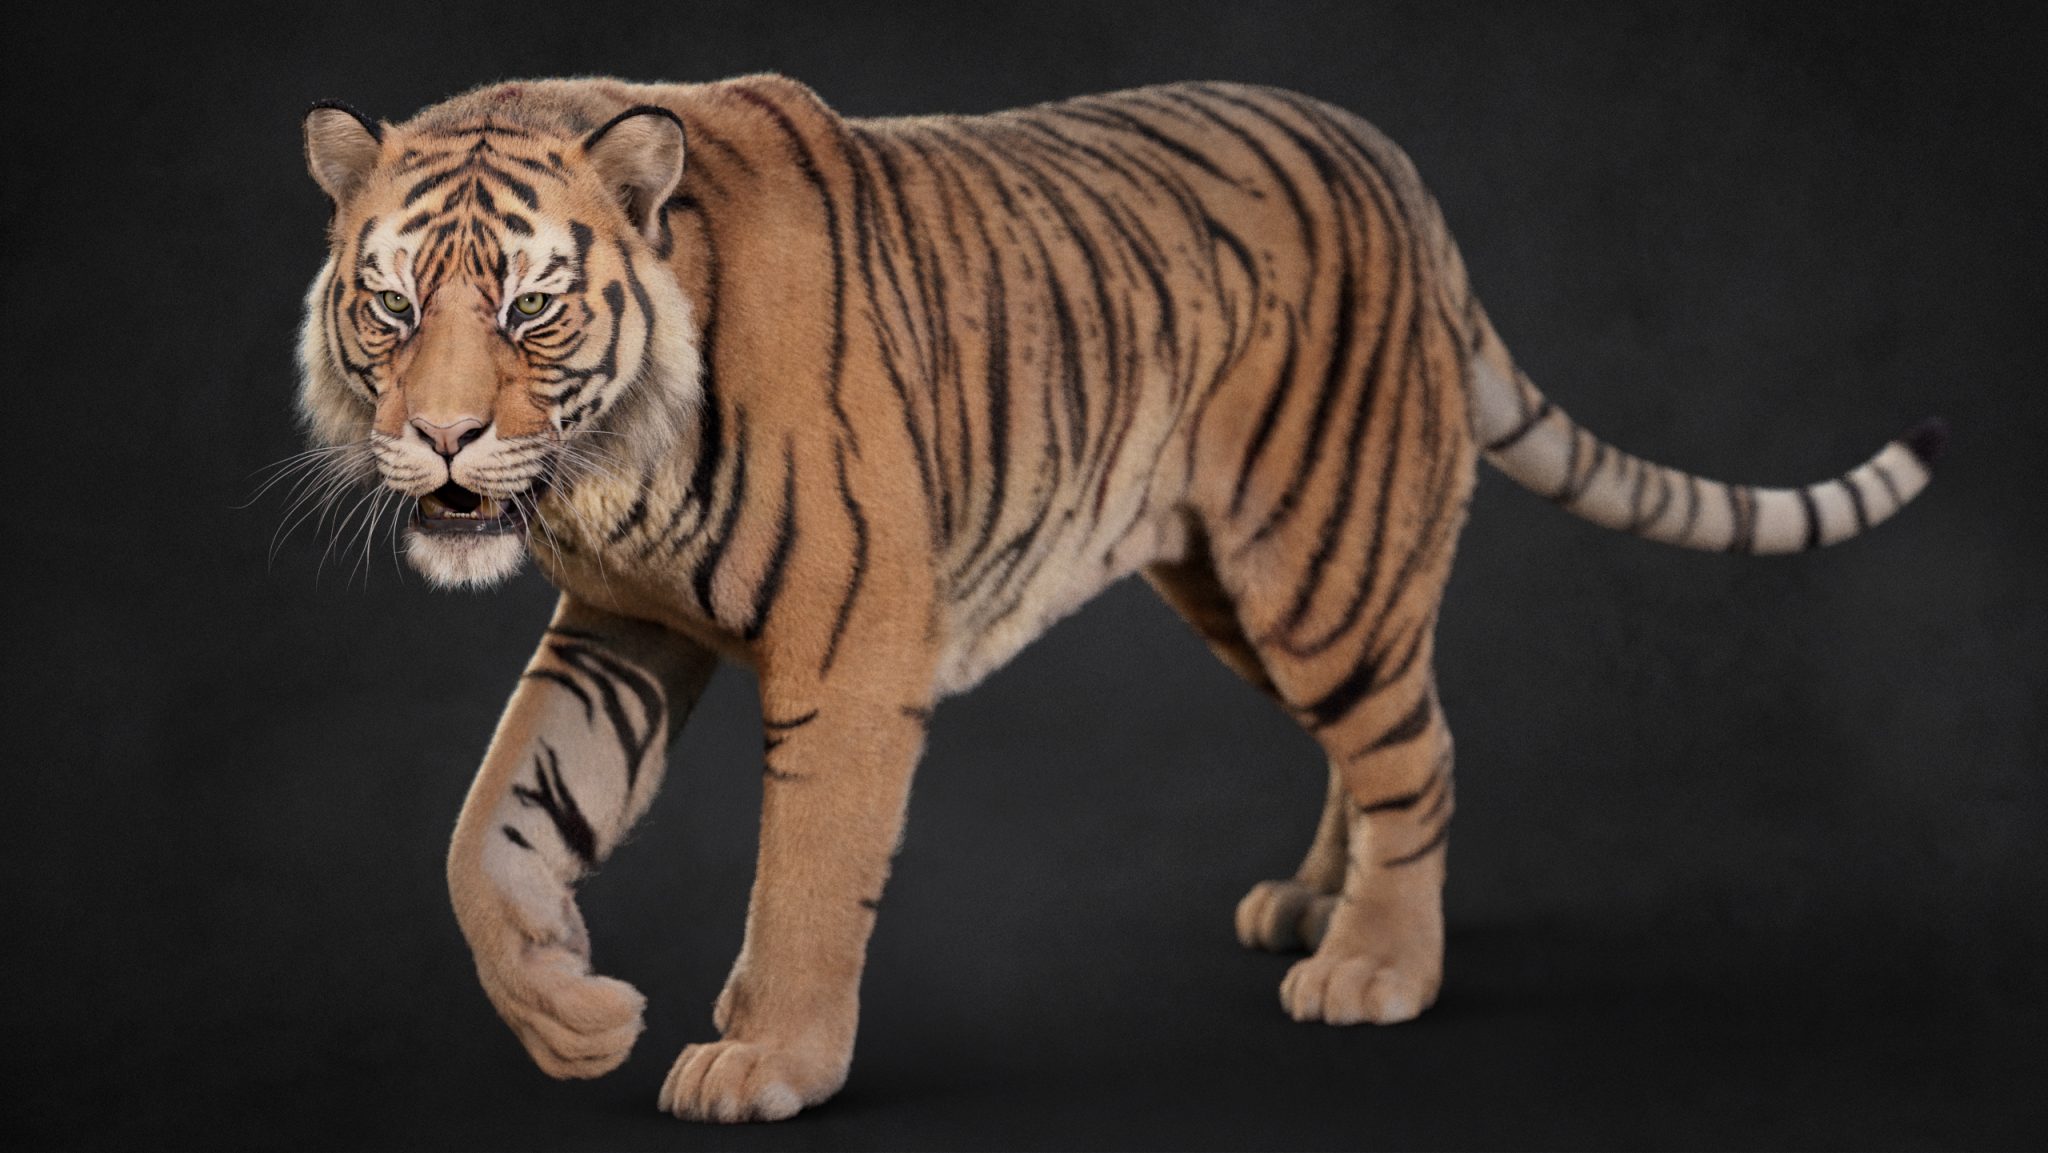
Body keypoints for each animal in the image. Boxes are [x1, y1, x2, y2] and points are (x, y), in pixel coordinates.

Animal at [295, 73, 1942, 1123]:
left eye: (530, 307)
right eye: (389, 306)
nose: (444, 438)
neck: (604, 475)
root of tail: (1398, 173)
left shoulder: (851, 639)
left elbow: (807, 876)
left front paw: (770, 1063)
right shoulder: (625, 626)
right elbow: (490, 832)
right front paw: (576, 1022)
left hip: (1319, 562)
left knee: (1419, 748)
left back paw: (1377, 968)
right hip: (1242, 588)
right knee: (1373, 740)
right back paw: (1317, 909)